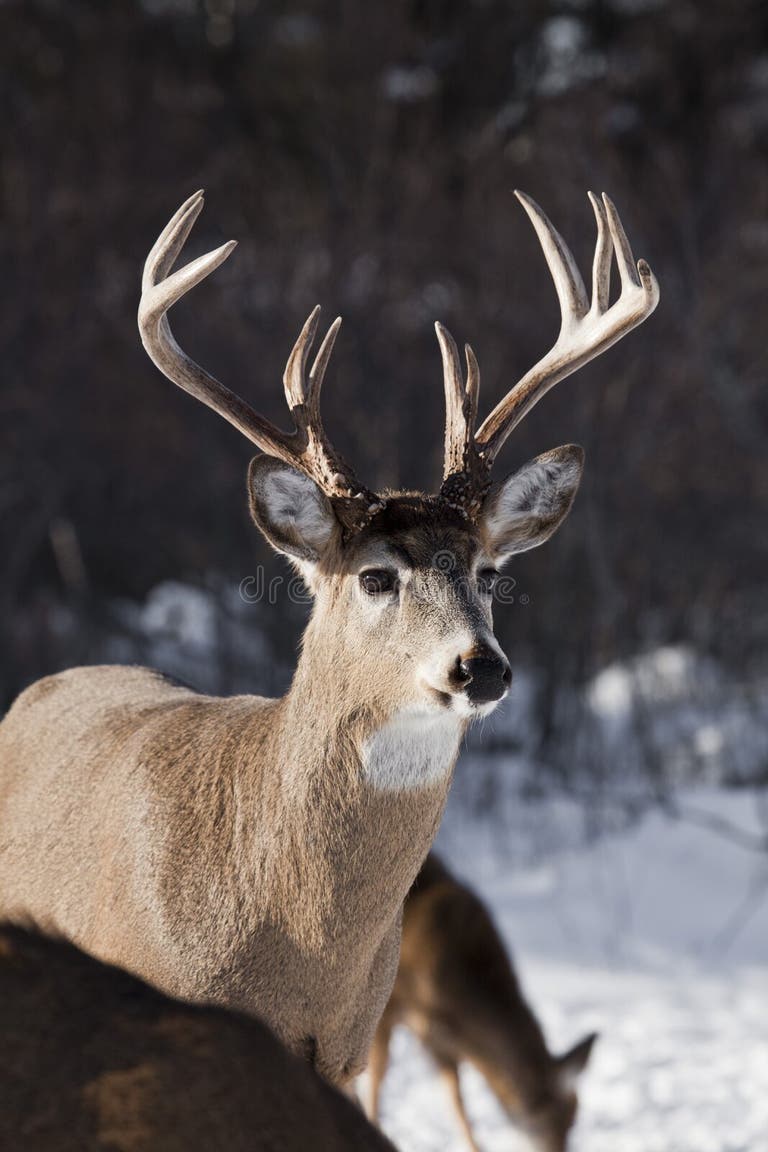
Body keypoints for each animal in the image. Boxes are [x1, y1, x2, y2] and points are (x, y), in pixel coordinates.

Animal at [366, 854, 597, 1152]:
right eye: (547, 1121)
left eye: (574, 1119)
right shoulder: (387, 1010)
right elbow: (377, 1077)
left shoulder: (439, 1036)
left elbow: (456, 1098)